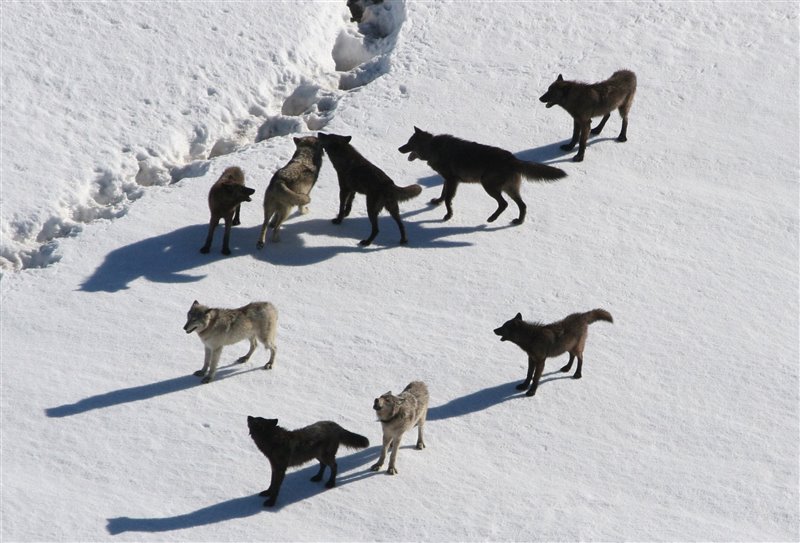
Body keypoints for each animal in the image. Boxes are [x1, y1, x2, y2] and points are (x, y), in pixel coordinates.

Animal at [398, 127, 566, 223]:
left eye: (409, 143)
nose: (399, 149)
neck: (433, 148)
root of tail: (513, 159)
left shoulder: (452, 180)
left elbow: (448, 199)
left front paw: (448, 216)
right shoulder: (448, 180)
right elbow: (443, 194)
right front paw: (437, 202)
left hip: (488, 185)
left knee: (504, 204)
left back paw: (492, 219)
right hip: (509, 189)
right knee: (522, 205)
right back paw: (518, 221)